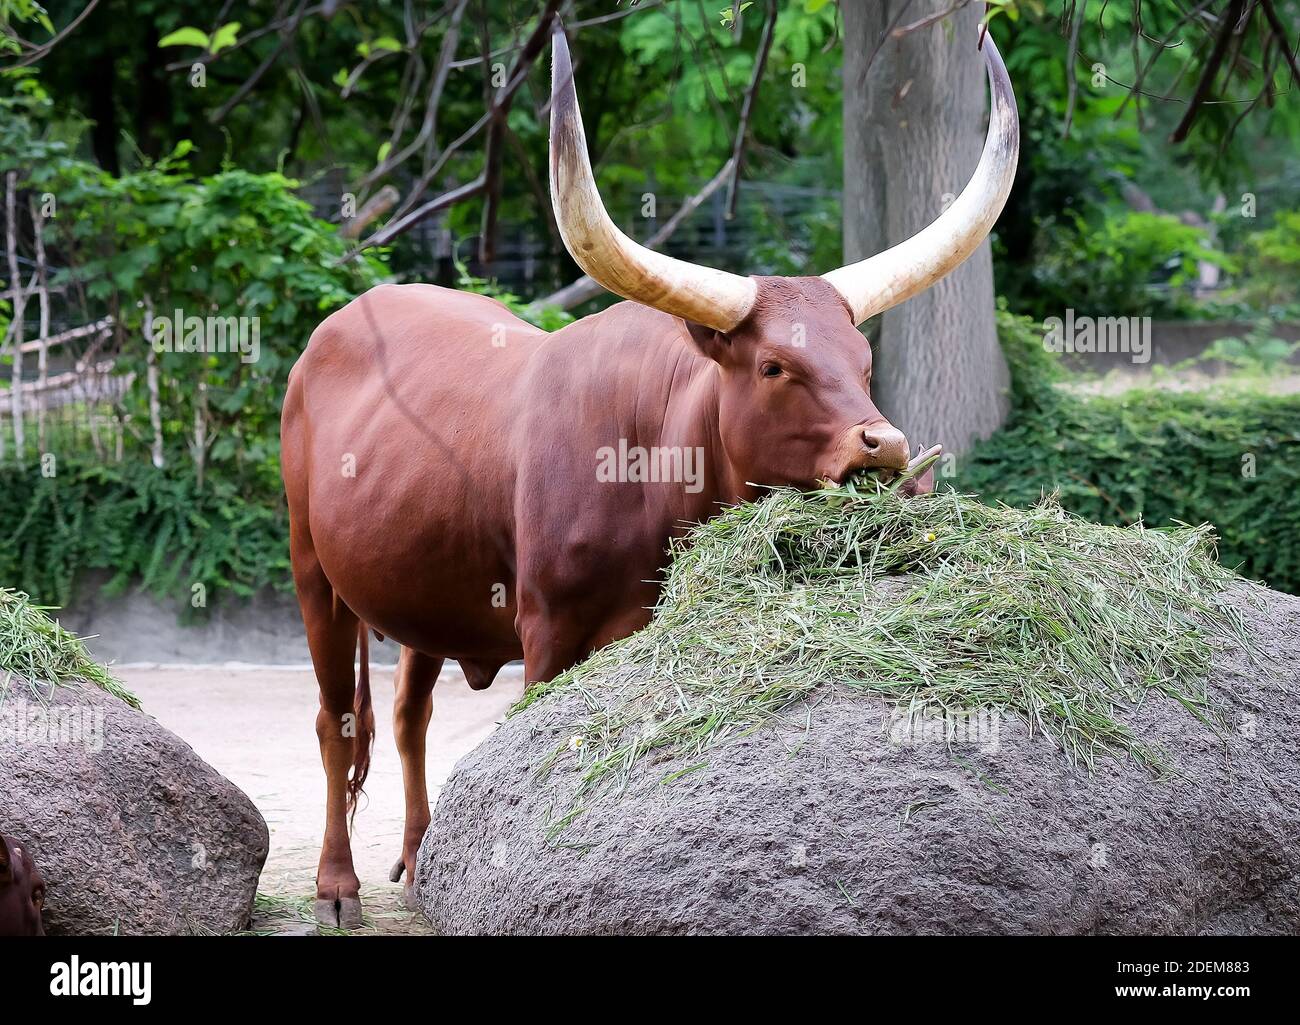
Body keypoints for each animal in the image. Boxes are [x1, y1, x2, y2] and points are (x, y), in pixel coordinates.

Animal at [281, 24, 1018, 926]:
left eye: (863, 359)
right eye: (774, 366)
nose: (881, 449)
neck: (652, 465)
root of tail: (344, 320)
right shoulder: (547, 630)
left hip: (425, 586)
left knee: (408, 710)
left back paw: (421, 863)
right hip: (313, 570)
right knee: (336, 721)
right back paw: (337, 886)